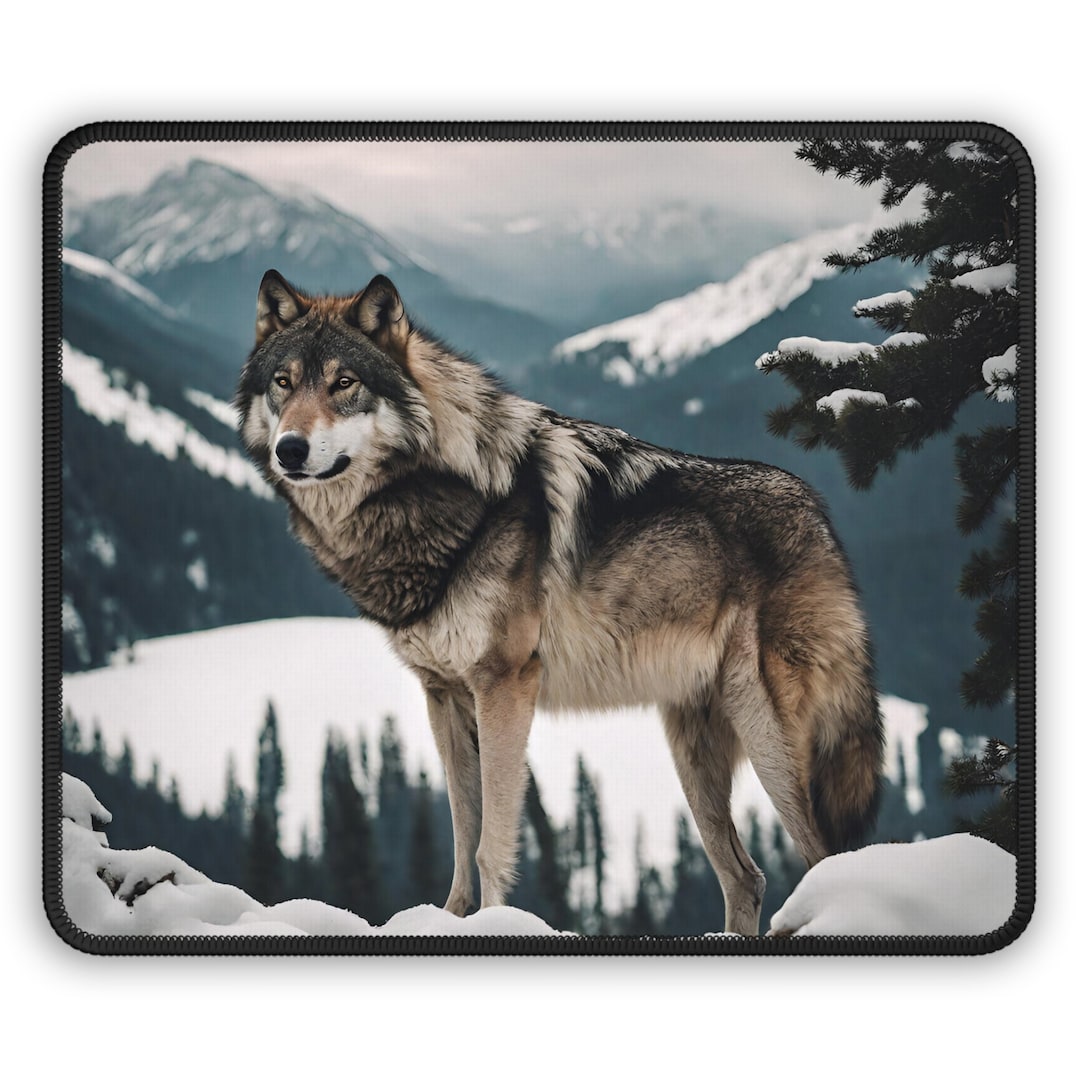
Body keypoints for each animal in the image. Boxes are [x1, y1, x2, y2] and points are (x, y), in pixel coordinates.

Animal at [236, 269, 884, 935]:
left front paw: (494, 923)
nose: (290, 449)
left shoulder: (504, 684)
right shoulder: (443, 695)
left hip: (772, 744)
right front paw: (451, 918)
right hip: (694, 754)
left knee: (825, 859)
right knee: (745, 877)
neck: (437, 497)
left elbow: (490, 841)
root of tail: (819, 515)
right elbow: (460, 836)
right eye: (283, 383)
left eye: (344, 383)